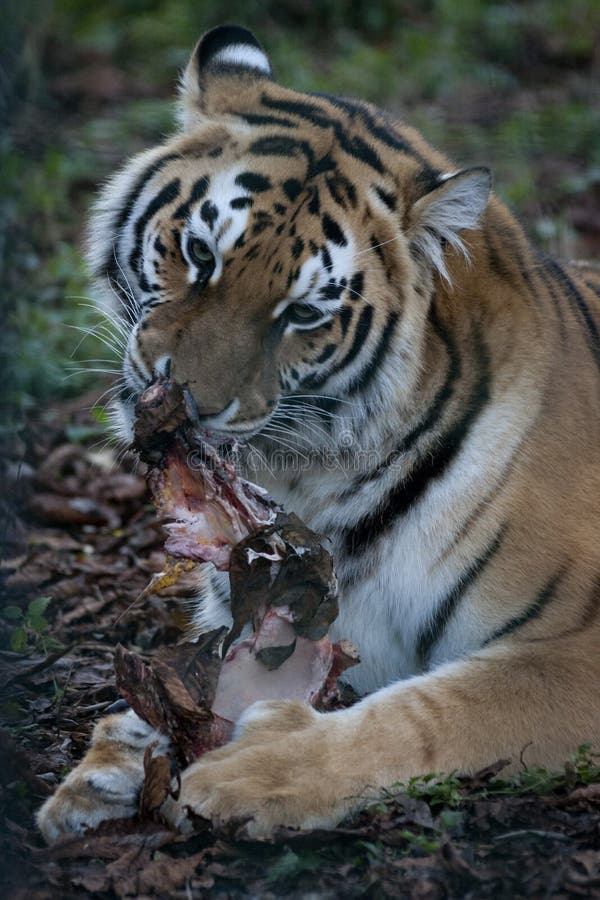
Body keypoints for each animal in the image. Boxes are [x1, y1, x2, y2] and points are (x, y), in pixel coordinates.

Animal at [38, 24, 600, 842]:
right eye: (200, 255)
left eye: (303, 313)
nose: (187, 400)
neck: (313, 476)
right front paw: (105, 767)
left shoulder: (575, 649)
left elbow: (438, 711)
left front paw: (254, 772)